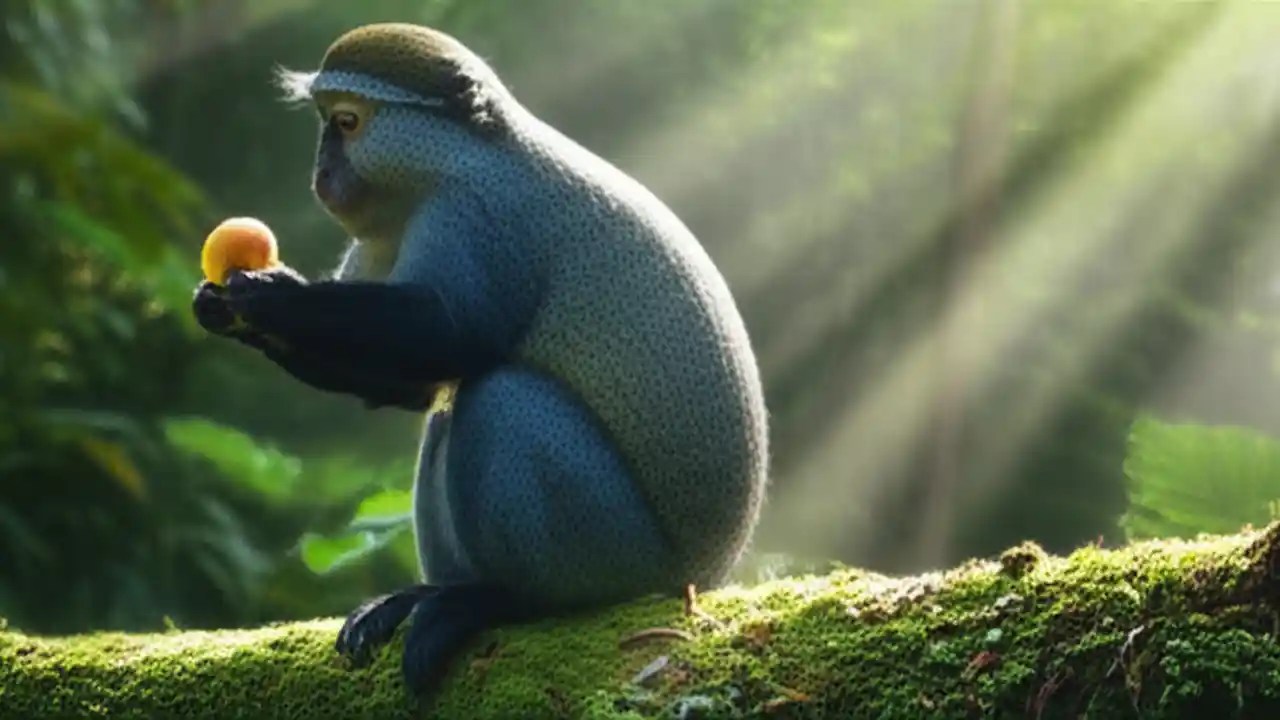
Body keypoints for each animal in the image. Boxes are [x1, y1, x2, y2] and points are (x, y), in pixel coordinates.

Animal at [193, 23, 769, 699]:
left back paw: (500, 601)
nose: (321, 170)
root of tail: (703, 574)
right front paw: (226, 310)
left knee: (500, 397)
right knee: (446, 417)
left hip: (625, 556)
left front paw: (270, 297)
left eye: (347, 122)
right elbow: (414, 388)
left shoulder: (480, 213)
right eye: (324, 123)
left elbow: (455, 335)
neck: (450, 161)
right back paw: (427, 596)